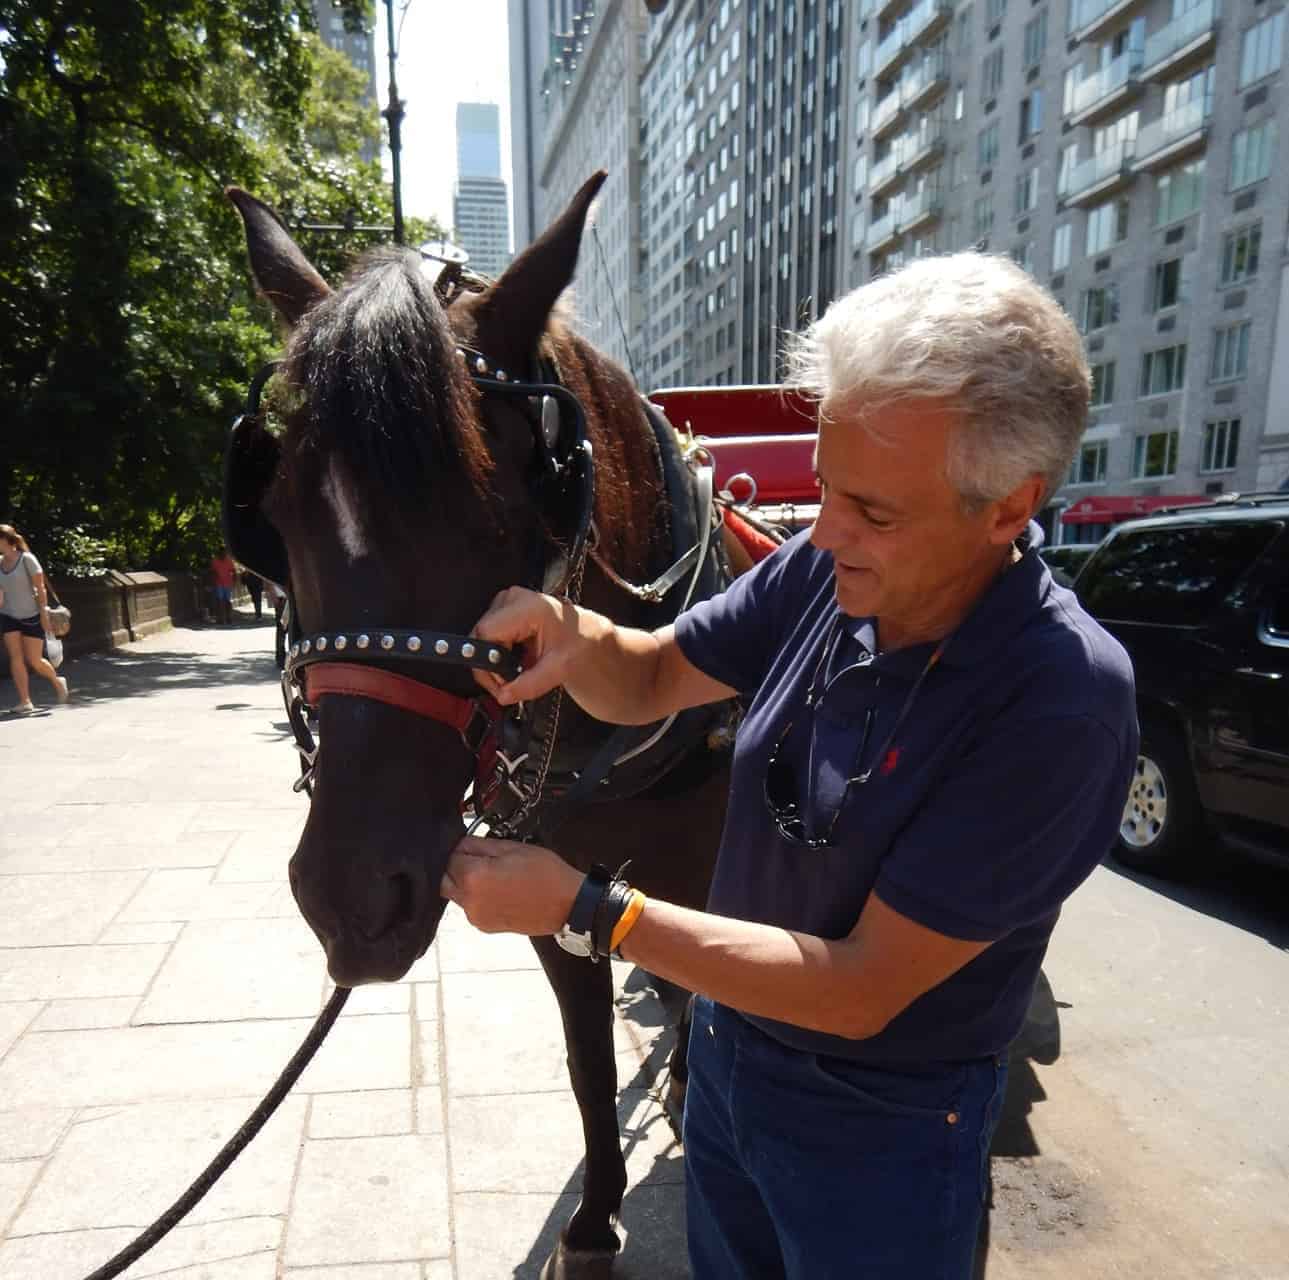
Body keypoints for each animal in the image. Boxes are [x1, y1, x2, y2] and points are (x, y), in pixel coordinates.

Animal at [224, 171, 753, 1279]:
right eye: (274, 522)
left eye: (501, 519)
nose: (349, 899)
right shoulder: (562, 892)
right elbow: (588, 1059)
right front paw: (593, 1222)